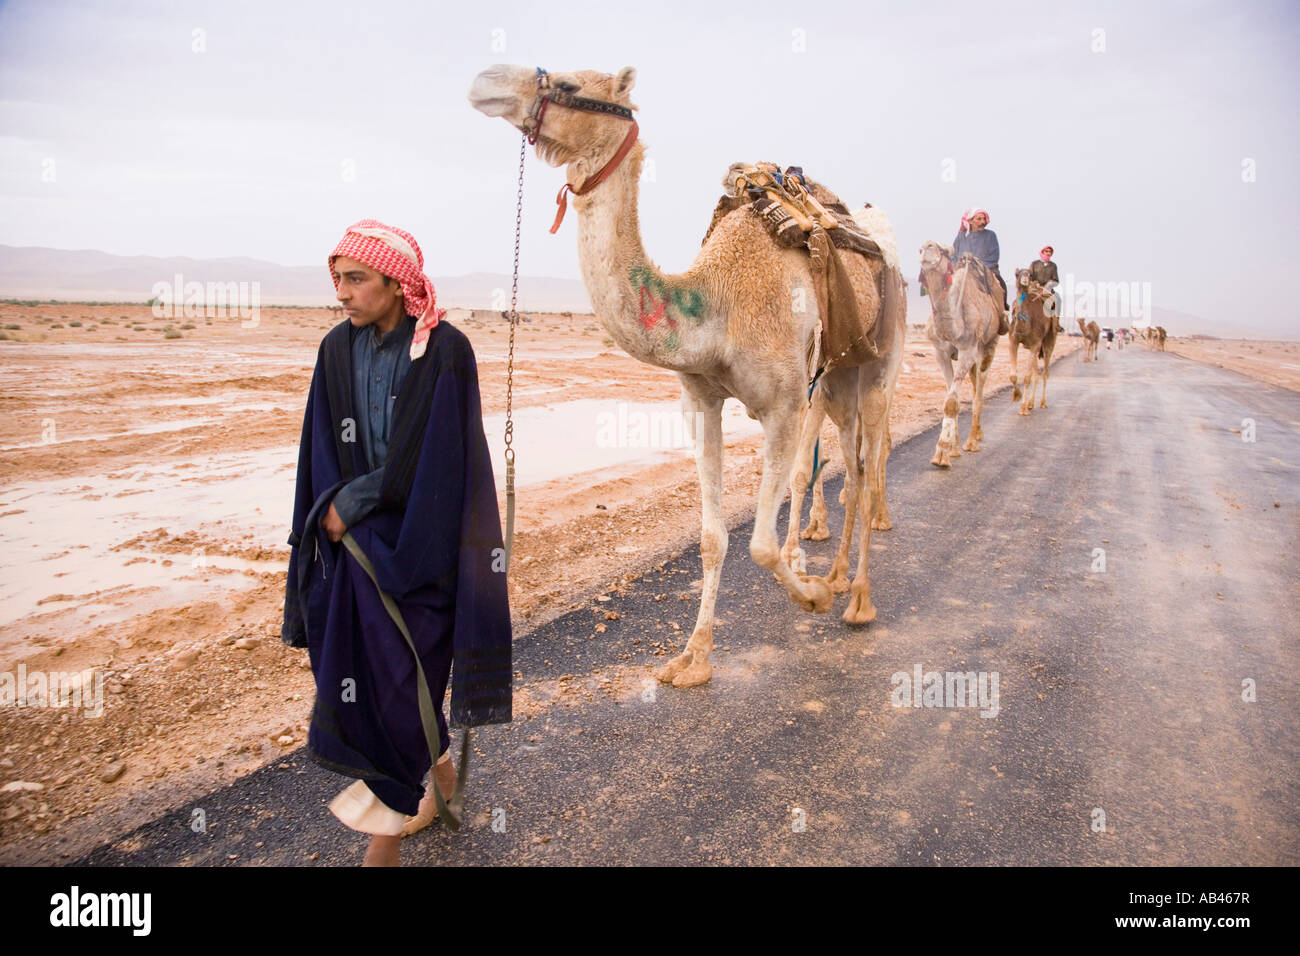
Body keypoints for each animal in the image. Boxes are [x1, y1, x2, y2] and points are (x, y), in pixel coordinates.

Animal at [470, 64, 905, 688]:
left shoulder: (786, 405)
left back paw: (857, 601)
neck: (719, 302)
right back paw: (841, 574)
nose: (487, 81)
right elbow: (712, 538)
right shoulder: (700, 401)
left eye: (574, 86)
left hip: (880, 360)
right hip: (837, 376)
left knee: (869, 471)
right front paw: (692, 658)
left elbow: (761, 545)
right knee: (853, 459)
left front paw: (813, 597)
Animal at [916, 243, 1004, 467]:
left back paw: (972, 442)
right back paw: (977, 434)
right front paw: (953, 449)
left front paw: (942, 454)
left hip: (988, 347)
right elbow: (950, 397)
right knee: (974, 386)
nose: (927, 248)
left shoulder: (967, 350)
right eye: (920, 248)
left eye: (943, 250)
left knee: (979, 393)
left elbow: (952, 401)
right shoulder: (940, 352)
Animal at [1008, 269, 1058, 414]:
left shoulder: (1036, 343)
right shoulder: (1013, 341)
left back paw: (1042, 403)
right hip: (1033, 348)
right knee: (1036, 374)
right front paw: (1017, 396)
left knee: (1045, 373)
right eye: (1017, 273)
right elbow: (1013, 376)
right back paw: (1031, 403)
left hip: (1049, 341)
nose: (1025, 277)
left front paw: (1023, 409)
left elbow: (1026, 378)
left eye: (1030, 274)